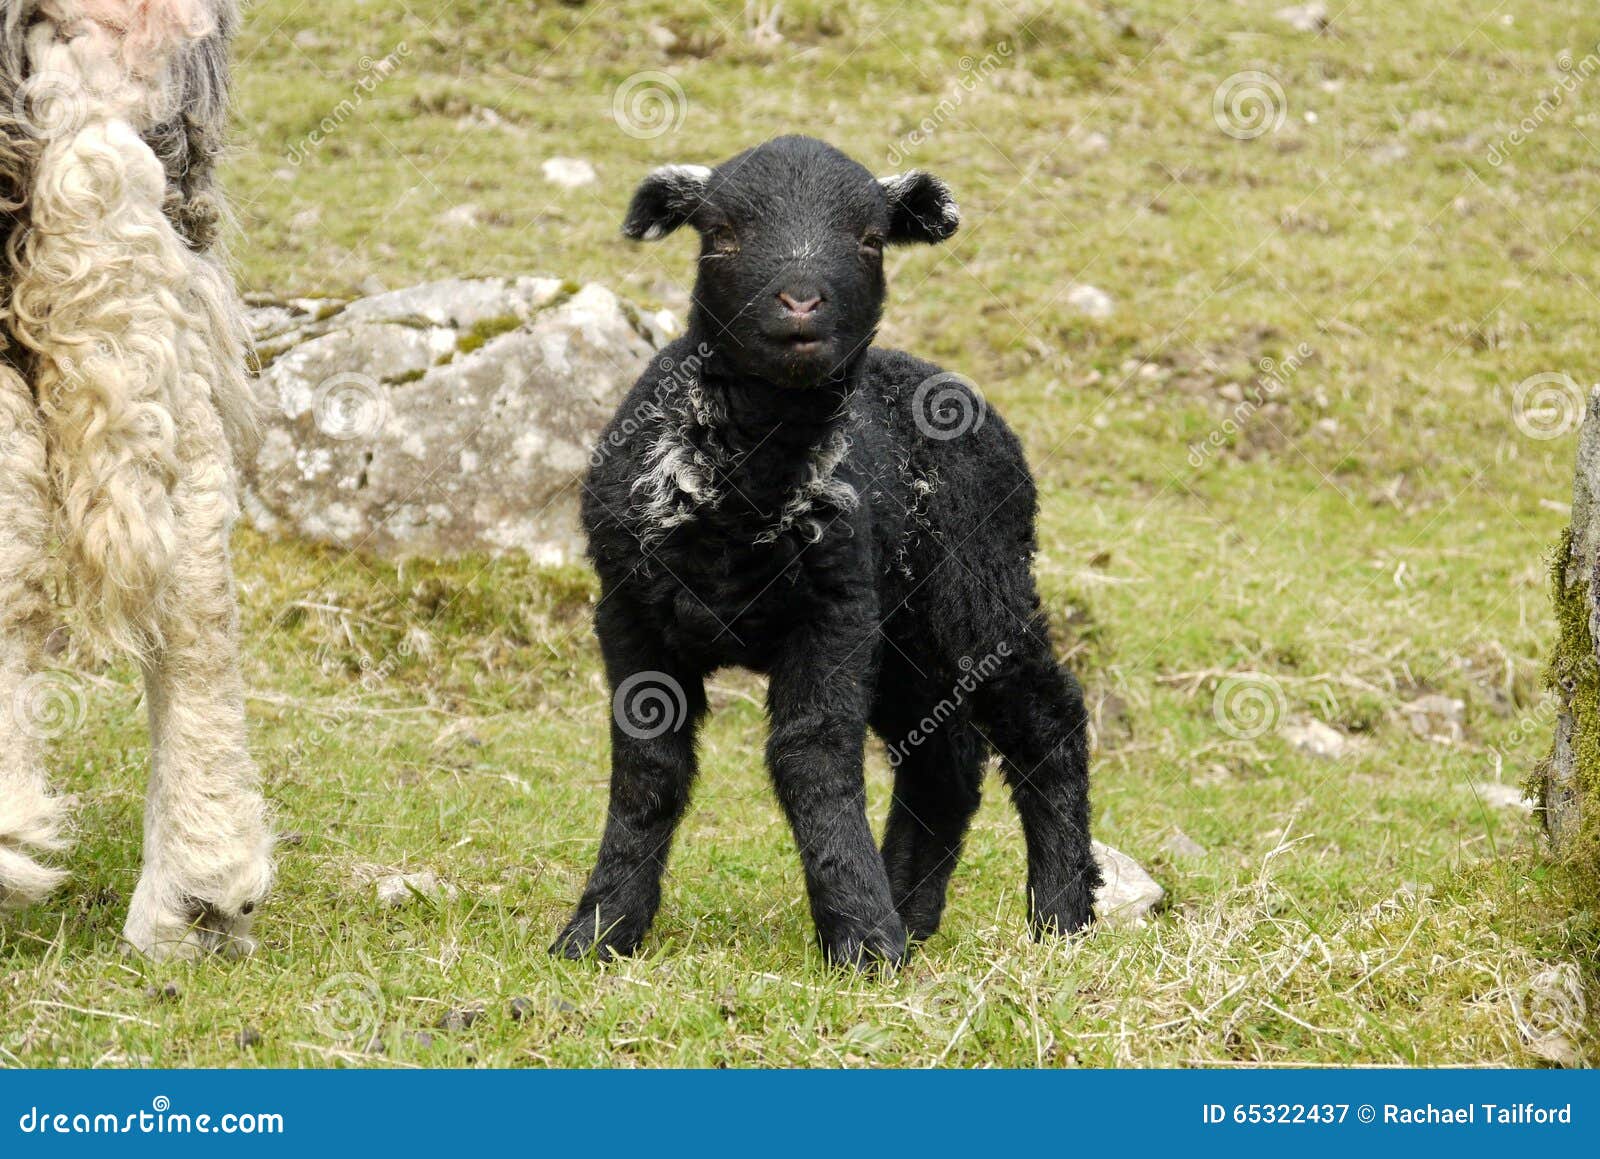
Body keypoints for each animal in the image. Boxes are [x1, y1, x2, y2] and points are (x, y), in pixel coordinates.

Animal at [553, 135, 1100, 968]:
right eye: (721, 234)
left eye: (870, 239)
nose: (802, 303)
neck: (746, 490)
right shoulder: (629, 609)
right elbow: (649, 769)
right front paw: (599, 929)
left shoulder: (836, 609)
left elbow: (812, 756)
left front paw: (861, 940)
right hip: (907, 634)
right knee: (942, 760)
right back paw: (912, 910)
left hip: (979, 587)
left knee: (1047, 717)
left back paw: (1062, 912)